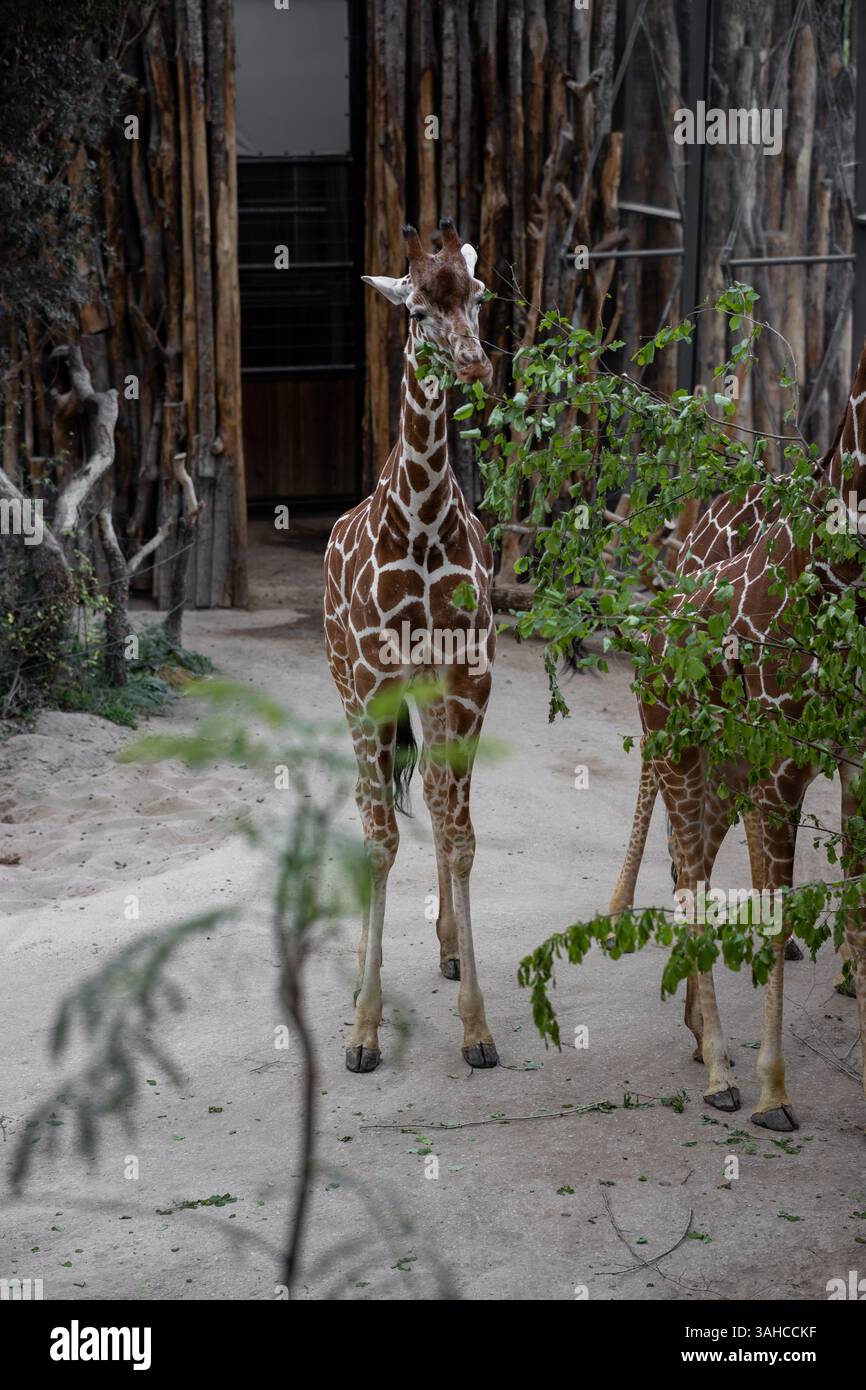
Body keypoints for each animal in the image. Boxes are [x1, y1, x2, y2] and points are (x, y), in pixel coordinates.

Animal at [637, 353, 866, 1130]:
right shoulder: (783, 772)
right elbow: (775, 914)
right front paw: (773, 1093)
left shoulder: (829, 763)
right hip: (677, 754)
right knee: (690, 882)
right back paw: (718, 1073)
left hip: (721, 771)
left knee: (693, 872)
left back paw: (704, 1043)